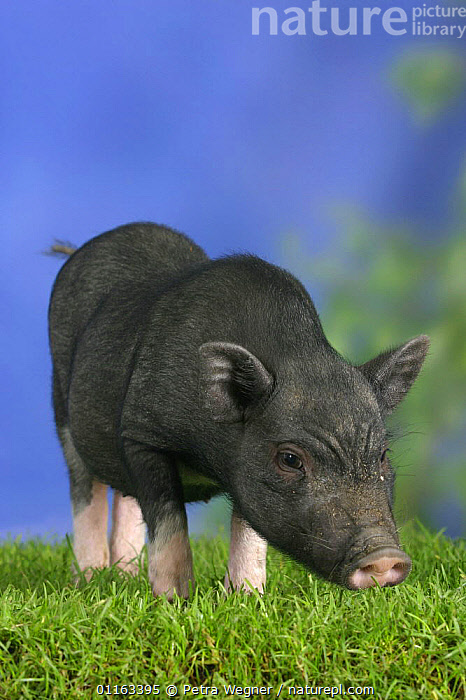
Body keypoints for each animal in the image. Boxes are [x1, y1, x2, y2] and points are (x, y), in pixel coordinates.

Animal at [48, 222, 429, 599]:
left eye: (383, 455)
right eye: (290, 459)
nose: (384, 556)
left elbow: (248, 534)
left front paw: (247, 598)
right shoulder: (141, 434)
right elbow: (169, 520)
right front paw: (175, 600)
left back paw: (125, 576)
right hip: (61, 406)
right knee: (86, 489)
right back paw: (89, 580)